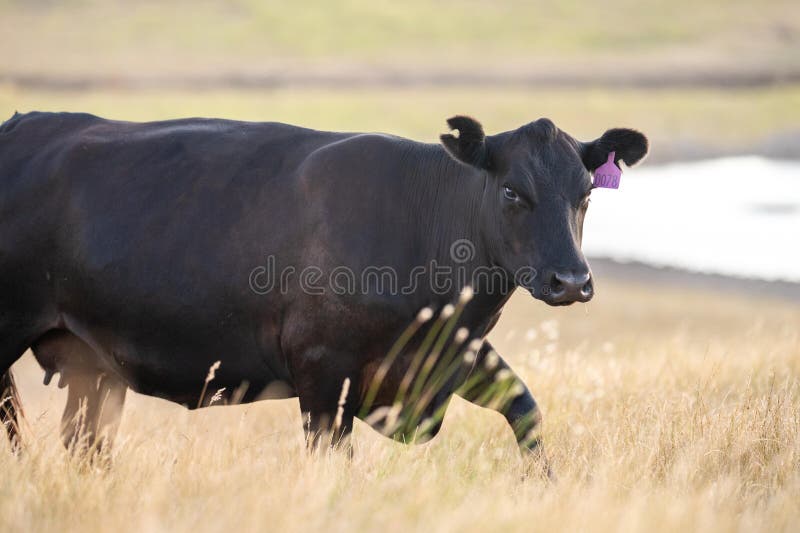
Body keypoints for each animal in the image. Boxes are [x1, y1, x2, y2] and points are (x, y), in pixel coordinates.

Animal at [0, 111, 647, 468]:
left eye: (587, 192)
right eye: (512, 191)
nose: (572, 281)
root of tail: (24, 122)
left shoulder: (454, 351)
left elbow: (526, 410)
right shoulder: (322, 368)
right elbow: (331, 457)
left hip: (91, 361)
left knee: (83, 443)